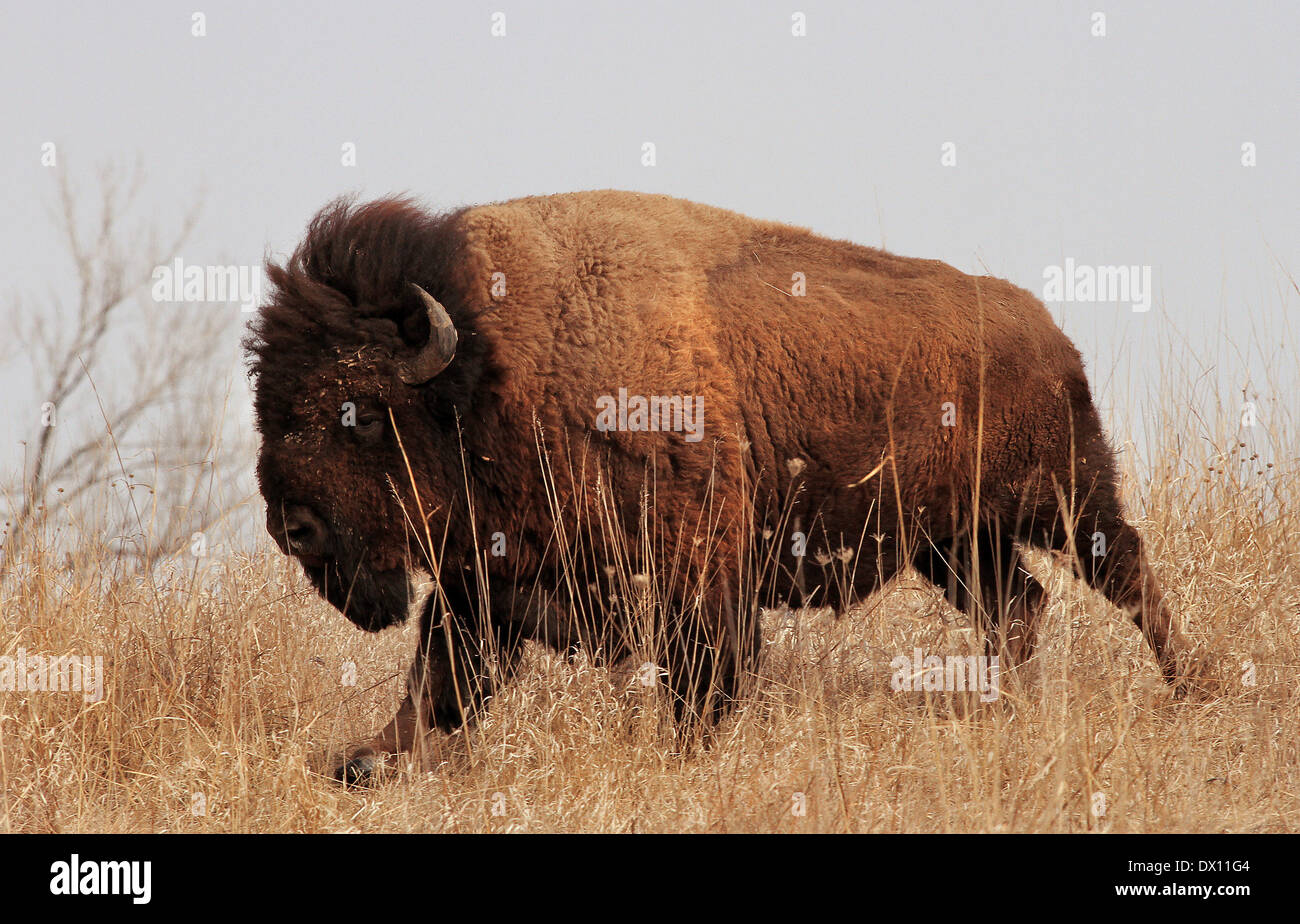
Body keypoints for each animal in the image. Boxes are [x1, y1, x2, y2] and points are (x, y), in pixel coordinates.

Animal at [245, 190, 1192, 783]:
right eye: (269, 406)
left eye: (361, 412)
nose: (295, 527)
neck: (494, 367)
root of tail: (1048, 334)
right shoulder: (485, 582)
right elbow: (438, 685)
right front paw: (357, 763)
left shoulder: (695, 562)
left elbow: (703, 675)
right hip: (952, 544)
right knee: (1018, 607)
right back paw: (1006, 709)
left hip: (1063, 499)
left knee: (1128, 576)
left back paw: (1196, 688)